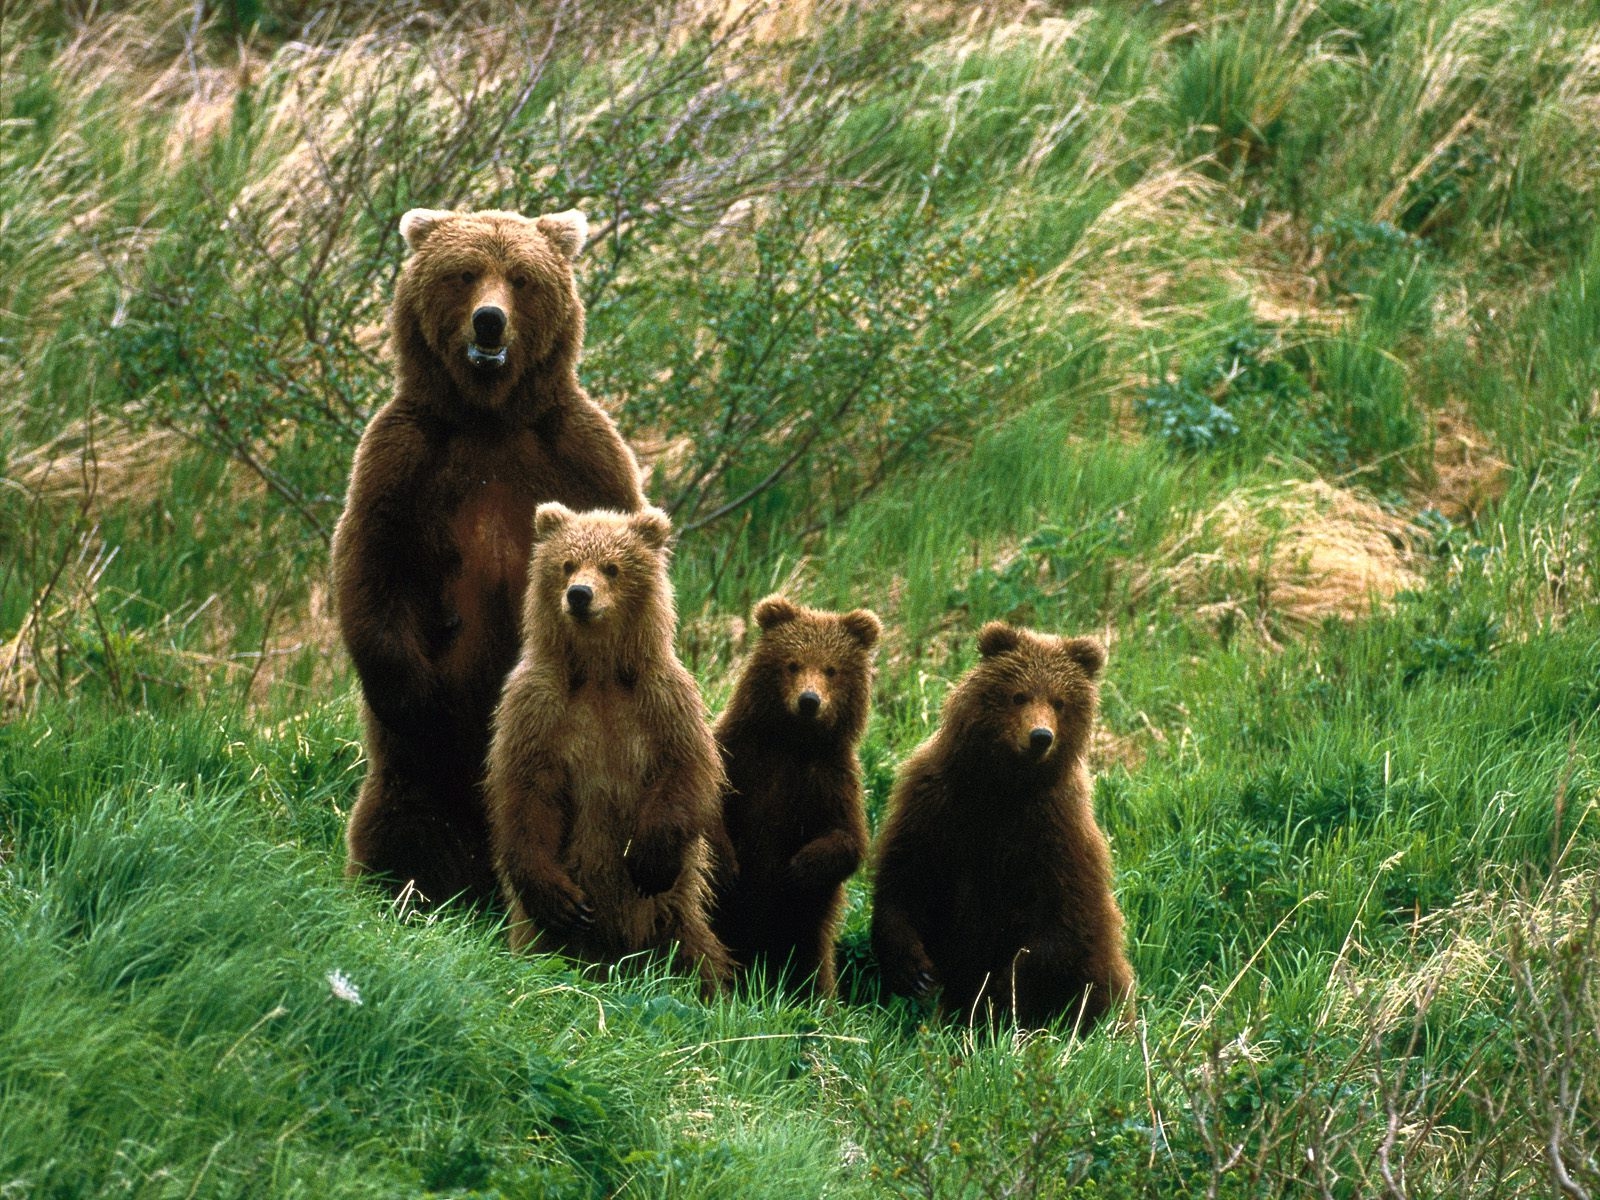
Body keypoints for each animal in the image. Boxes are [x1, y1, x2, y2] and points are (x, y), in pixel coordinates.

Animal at [333, 207, 644, 911]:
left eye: (522, 278)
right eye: (465, 271)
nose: (489, 321)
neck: (489, 417)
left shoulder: (582, 453)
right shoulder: (405, 458)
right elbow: (372, 562)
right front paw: (414, 697)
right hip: (415, 778)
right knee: (402, 820)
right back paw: (407, 887)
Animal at [485, 503, 732, 995]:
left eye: (612, 567)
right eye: (566, 564)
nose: (579, 595)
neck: (599, 671)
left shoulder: (662, 700)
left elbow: (687, 771)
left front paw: (646, 857)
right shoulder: (537, 706)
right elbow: (526, 791)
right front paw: (558, 897)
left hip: (672, 916)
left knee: (695, 953)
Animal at [710, 595, 881, 996]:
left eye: (832, 669)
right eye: (792, 663)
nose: (809, 700)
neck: (792, 742)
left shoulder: (830, 780)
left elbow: (848, 839)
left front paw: (800, 867)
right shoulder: (740, 757)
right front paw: (728, 865)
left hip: (804, 930)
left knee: (811, 966)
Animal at [870, 622, 1133, 1032]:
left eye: (1059, 701)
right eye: (1019, 695)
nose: (1040, 736)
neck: (1002, 786)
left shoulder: (1054, 829)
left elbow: (1059, 920)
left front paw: (995, 995)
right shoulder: (937, 802)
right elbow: (906, 874)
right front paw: (912, 968)